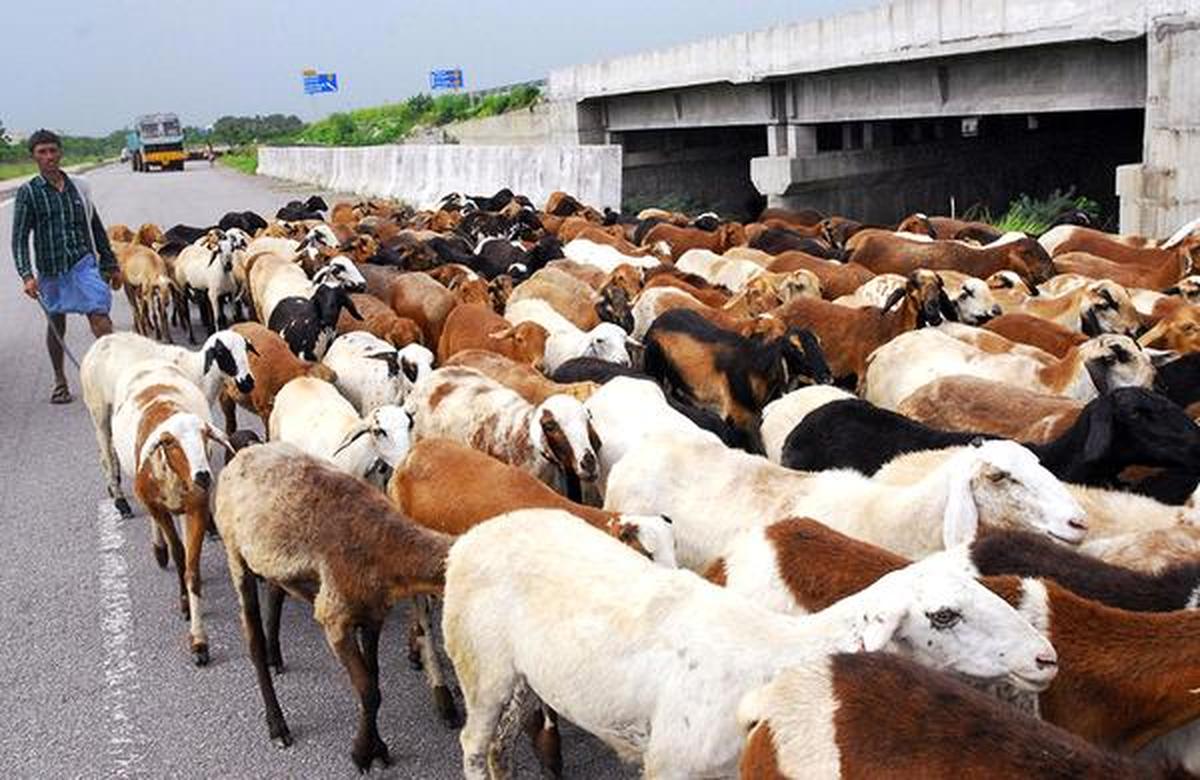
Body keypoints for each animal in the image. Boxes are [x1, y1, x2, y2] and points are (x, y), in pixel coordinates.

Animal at [81, 330, 255, 517]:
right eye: (222, 352)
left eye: (246, 348)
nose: (248, 383)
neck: (198, 372)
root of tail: (99, 343)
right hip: (99, 412)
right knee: (106, 452)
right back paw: (120, 501)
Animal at [110, 359, 234, 665]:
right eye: (172, 443)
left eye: (204, 437)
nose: (203, 476)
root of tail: (147, 361)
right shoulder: (158, 508)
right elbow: (179, 555)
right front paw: (184, 605)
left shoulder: (196, 509)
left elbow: (192, 570)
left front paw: (199, 641)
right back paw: (159, 549)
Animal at [215, 442, 450, 770]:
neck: (391, 556)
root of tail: (240, 455)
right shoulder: (334, 616)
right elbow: (368, 690)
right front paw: (362, 753)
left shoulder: (373, 613)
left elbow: (373, 678)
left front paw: (376, 747)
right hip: (235, 552)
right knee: (253, 641)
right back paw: (277, 725)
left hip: (274, 561)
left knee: (275, 592)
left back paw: (276, 657)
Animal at [443, 508, 1055, 780]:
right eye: (944, 616)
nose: (1045, 658)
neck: (774, 660)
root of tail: (479, 531)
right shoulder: (670, 767)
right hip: (483, 665)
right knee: (474, 741)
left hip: (526, 676)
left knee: (501, 742)